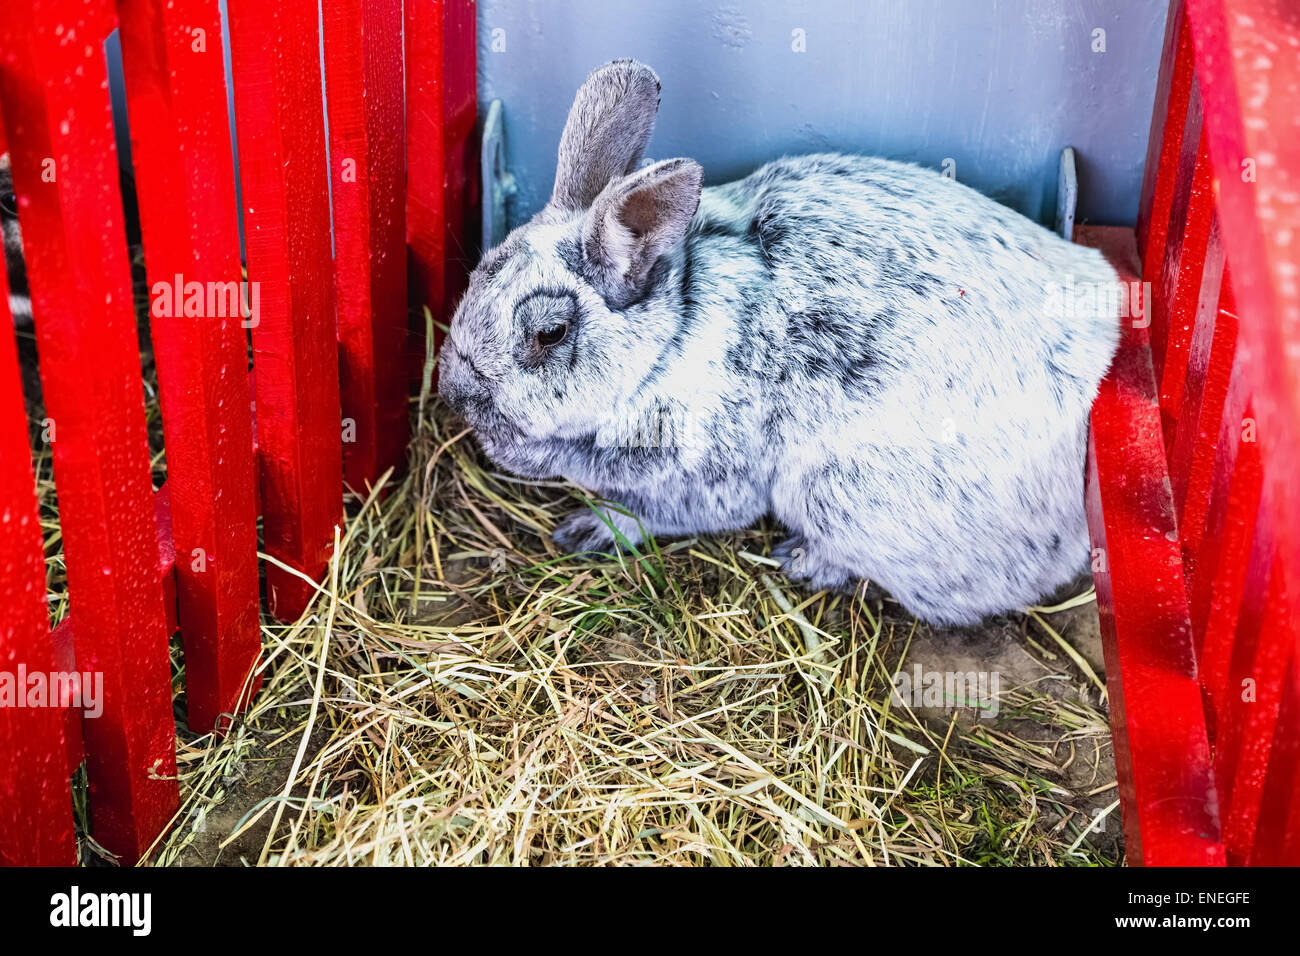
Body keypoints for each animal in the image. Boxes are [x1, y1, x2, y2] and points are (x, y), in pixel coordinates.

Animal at [438, 59, 1121, 627]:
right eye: (477, 274)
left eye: (549, 333)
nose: (452, 391)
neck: (666, 348)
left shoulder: (703, 480)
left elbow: (651, 514)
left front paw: (587, 530)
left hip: (839, 496)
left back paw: (803, 560)